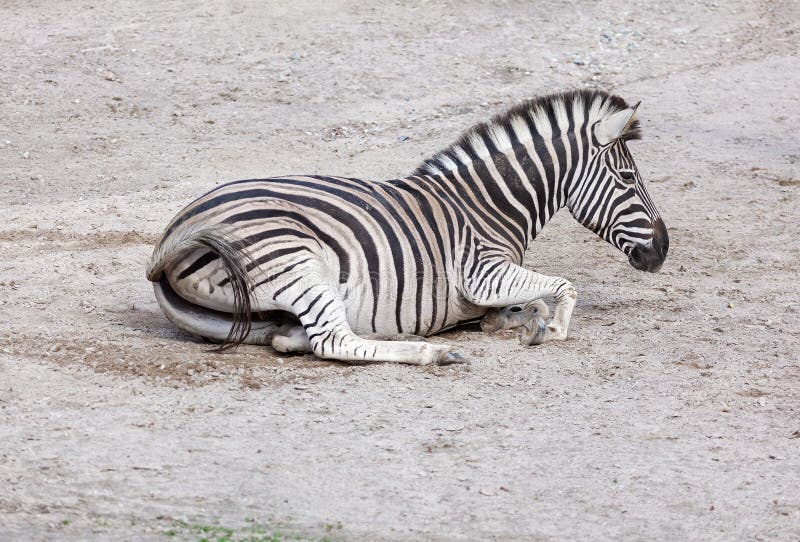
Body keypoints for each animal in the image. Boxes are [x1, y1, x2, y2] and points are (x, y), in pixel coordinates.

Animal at [146, 89, 668, 365]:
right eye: (627, 179)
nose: (662, 250)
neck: (486, 205)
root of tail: (176, 230)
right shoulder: (481, 272)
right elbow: (562, 286)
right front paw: (549, 329)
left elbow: (532, 299)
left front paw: (510, 320)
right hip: (297, 261)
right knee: (332, 341)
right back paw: (427, 353)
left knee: (291, 335)